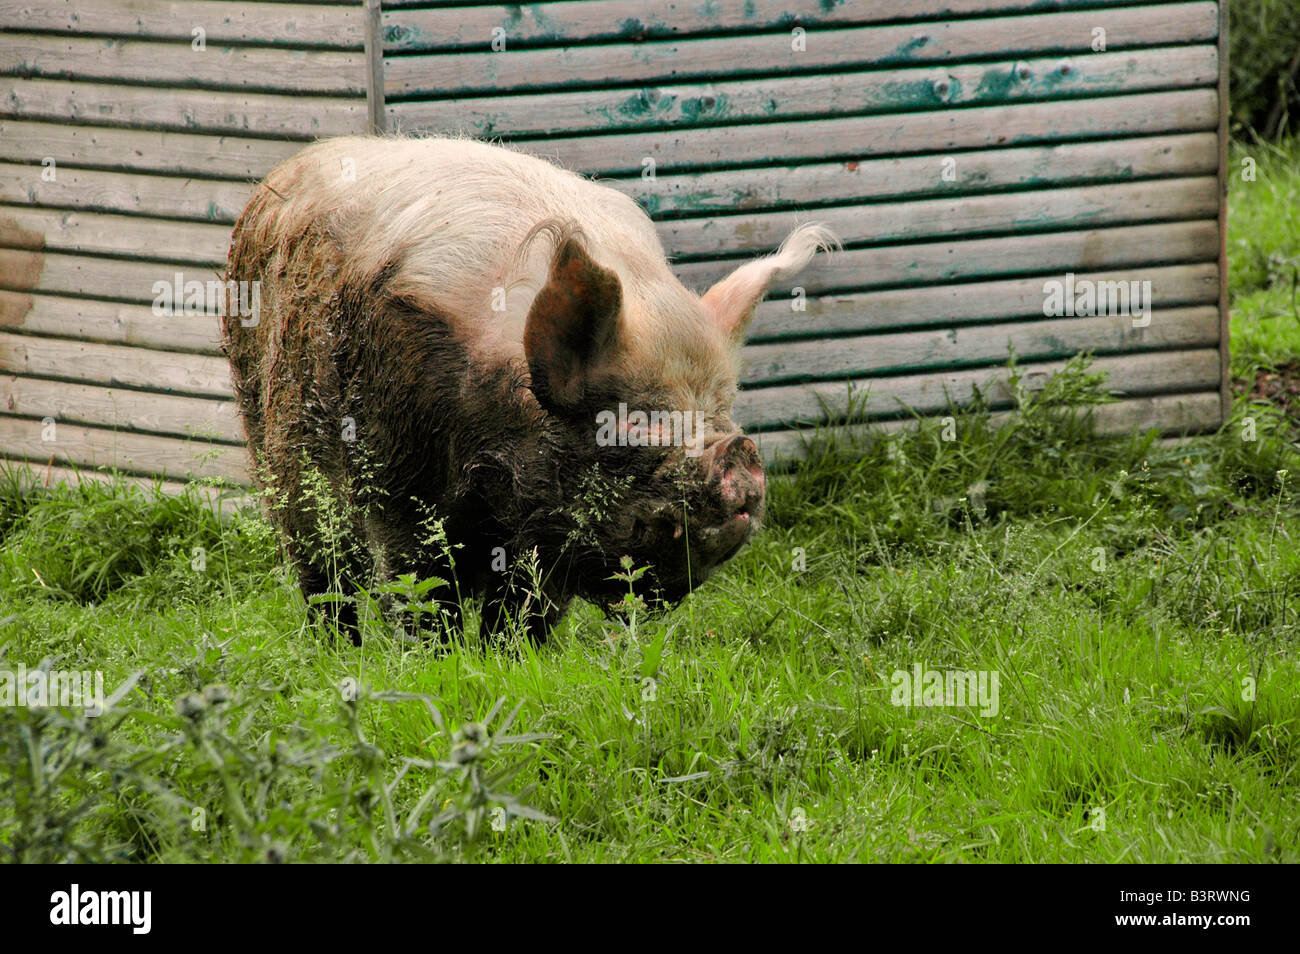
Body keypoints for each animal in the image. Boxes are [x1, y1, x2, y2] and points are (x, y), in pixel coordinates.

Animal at [222, 136, 835, 643]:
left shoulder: (550, 534)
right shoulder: (398, 480)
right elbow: (421, 588)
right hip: (274, 436)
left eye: (722, 411)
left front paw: (511, 661)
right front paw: (438, 663)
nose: (741, 454)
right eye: (629, 423)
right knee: (324, 576)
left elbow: (525, 612)